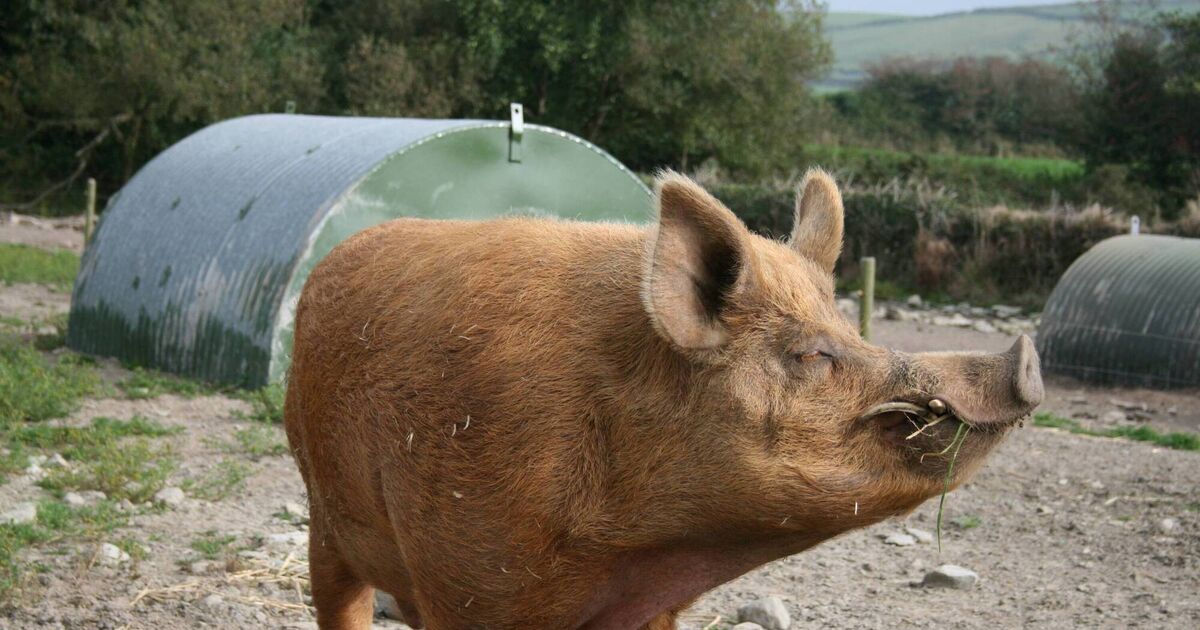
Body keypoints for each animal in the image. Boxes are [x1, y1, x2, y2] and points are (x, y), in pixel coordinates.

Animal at [284, 169, 1043, 630]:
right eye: (810, 355)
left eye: (850, 328)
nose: (1025, 356)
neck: (637, 552)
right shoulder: (468, 577)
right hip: (322, 508)